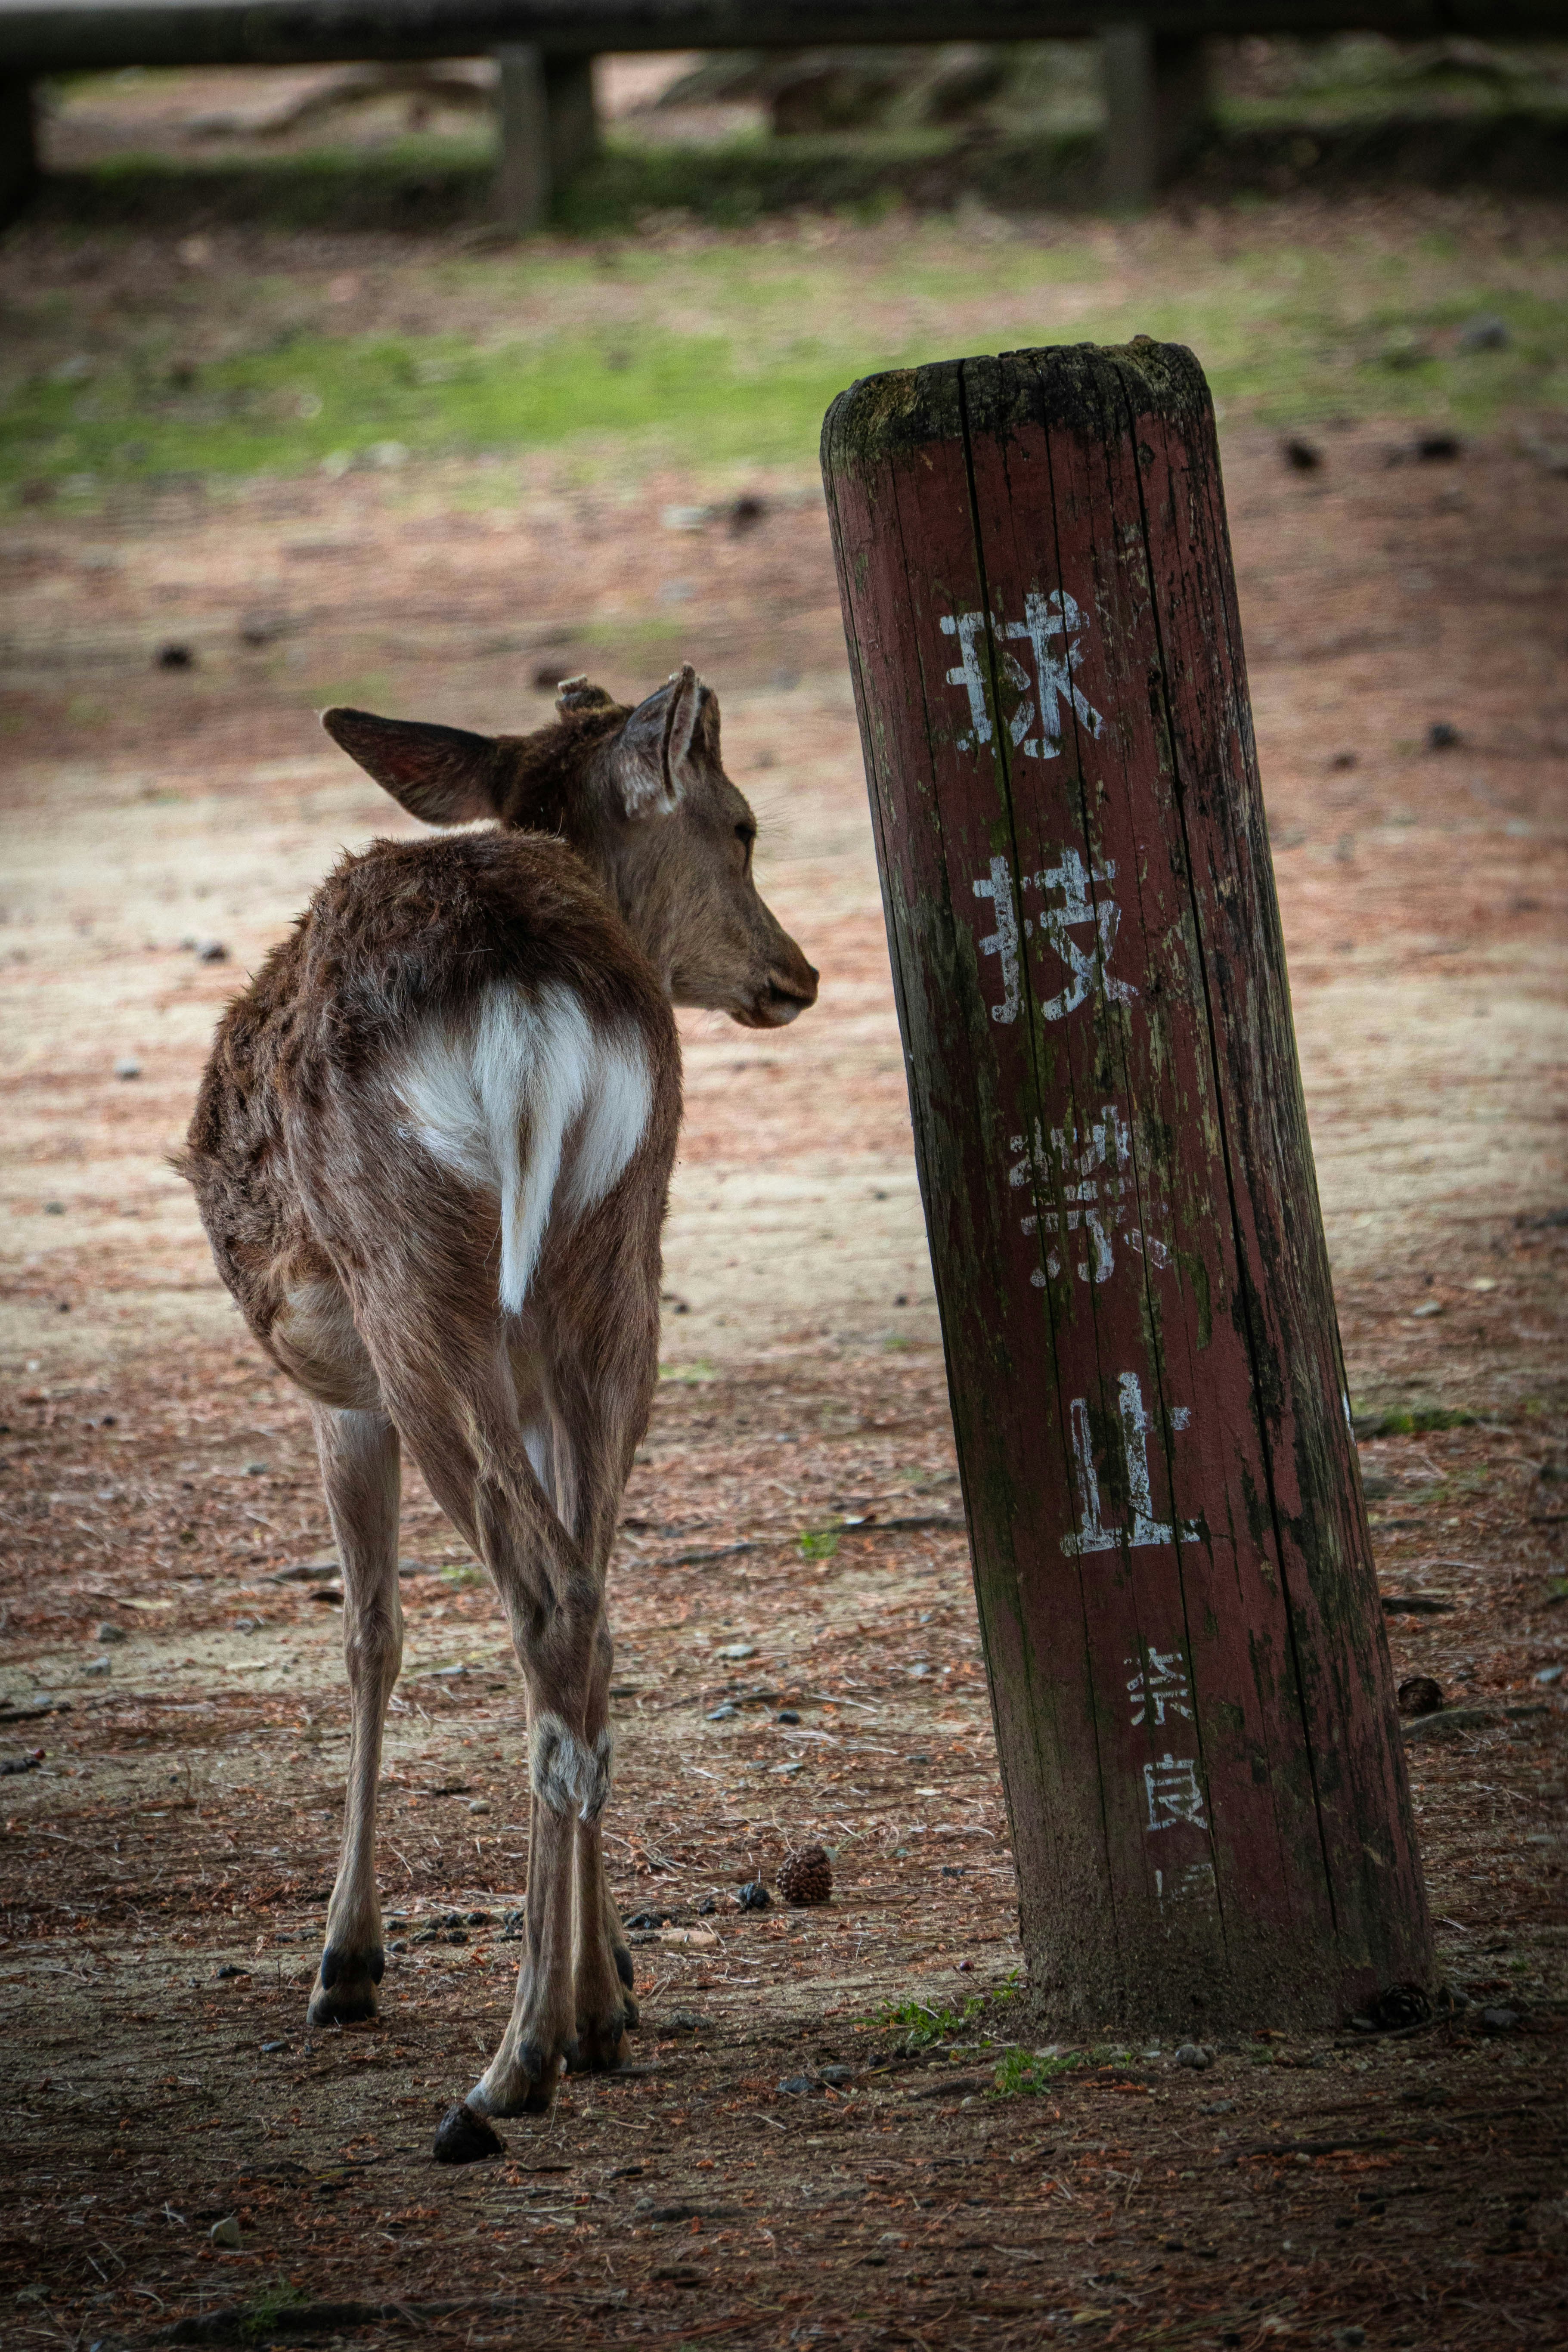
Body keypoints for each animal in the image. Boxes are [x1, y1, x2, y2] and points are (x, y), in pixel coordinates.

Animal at [179, 667, 817, 2158]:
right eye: (745, 824)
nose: (799, 970)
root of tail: (526, 983)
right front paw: (618, 1982)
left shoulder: (339, 1392)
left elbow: (368, 1634)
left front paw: (346, 1962)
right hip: (617, 1263)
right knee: (593, 1606)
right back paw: (579, 2019)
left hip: (410, 1285)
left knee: (543, 1601)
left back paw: (508, 2061)